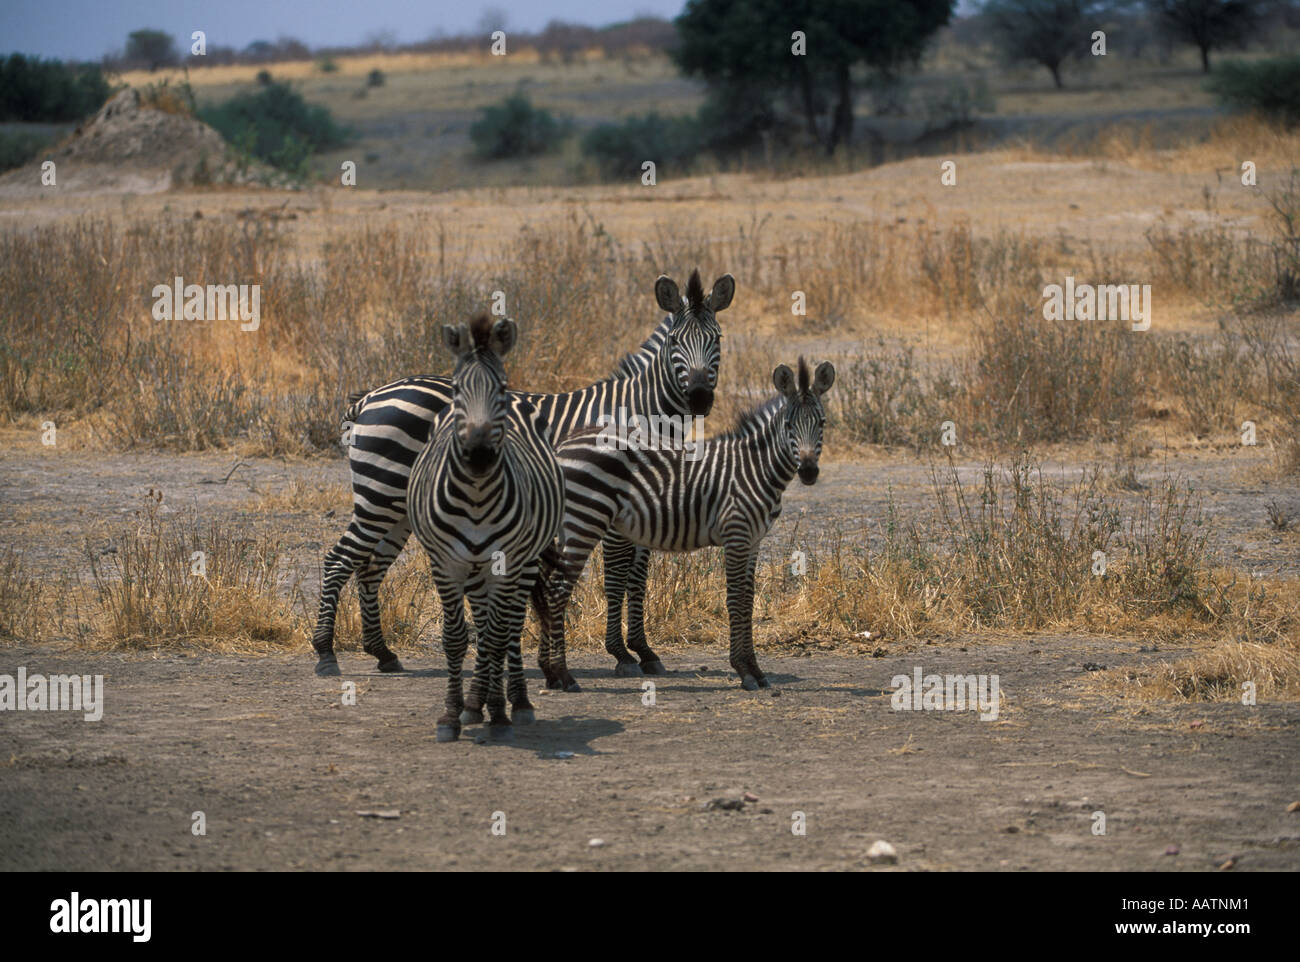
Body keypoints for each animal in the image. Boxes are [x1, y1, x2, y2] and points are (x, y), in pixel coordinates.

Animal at [311, 269, 735, 689]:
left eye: (716, 339)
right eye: (676, 341)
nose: (699, 398)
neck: (642, 411)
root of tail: (371, 397)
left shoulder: (645, 505)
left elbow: (638, 578)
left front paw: (644, 651)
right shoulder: (612, 507)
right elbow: (617, 576)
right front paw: (621, 654)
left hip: (398, 505)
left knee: (369, 567)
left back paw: (382, 653)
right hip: (379, 495)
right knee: (339, 559)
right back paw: (325, 654)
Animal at [407, 314, 565, 742]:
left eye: (501, 388)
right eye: (457, 390)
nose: (478, 456)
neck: (476, 496)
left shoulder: (506, 563)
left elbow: (496, 636)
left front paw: (500, 713)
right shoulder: (445, 564)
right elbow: (457, 638)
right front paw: (452, 713)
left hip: (523, 564)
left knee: (509, 628)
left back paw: (515, 703)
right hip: (475, 569)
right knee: (483, 620)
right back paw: (474, 703)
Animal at [534, 357, 836, 691]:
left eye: (822, 423)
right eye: (788, 426)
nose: (808, 472)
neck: (755, 468)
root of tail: (562, 448)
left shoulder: (754, 540)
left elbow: (748, 600)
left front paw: (756, 671)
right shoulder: (736, 535)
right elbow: (735, 600)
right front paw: (743, 670)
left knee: (547, 589)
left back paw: (550, 673)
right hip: (584, 522)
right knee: (557, 591)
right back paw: (563, 675)